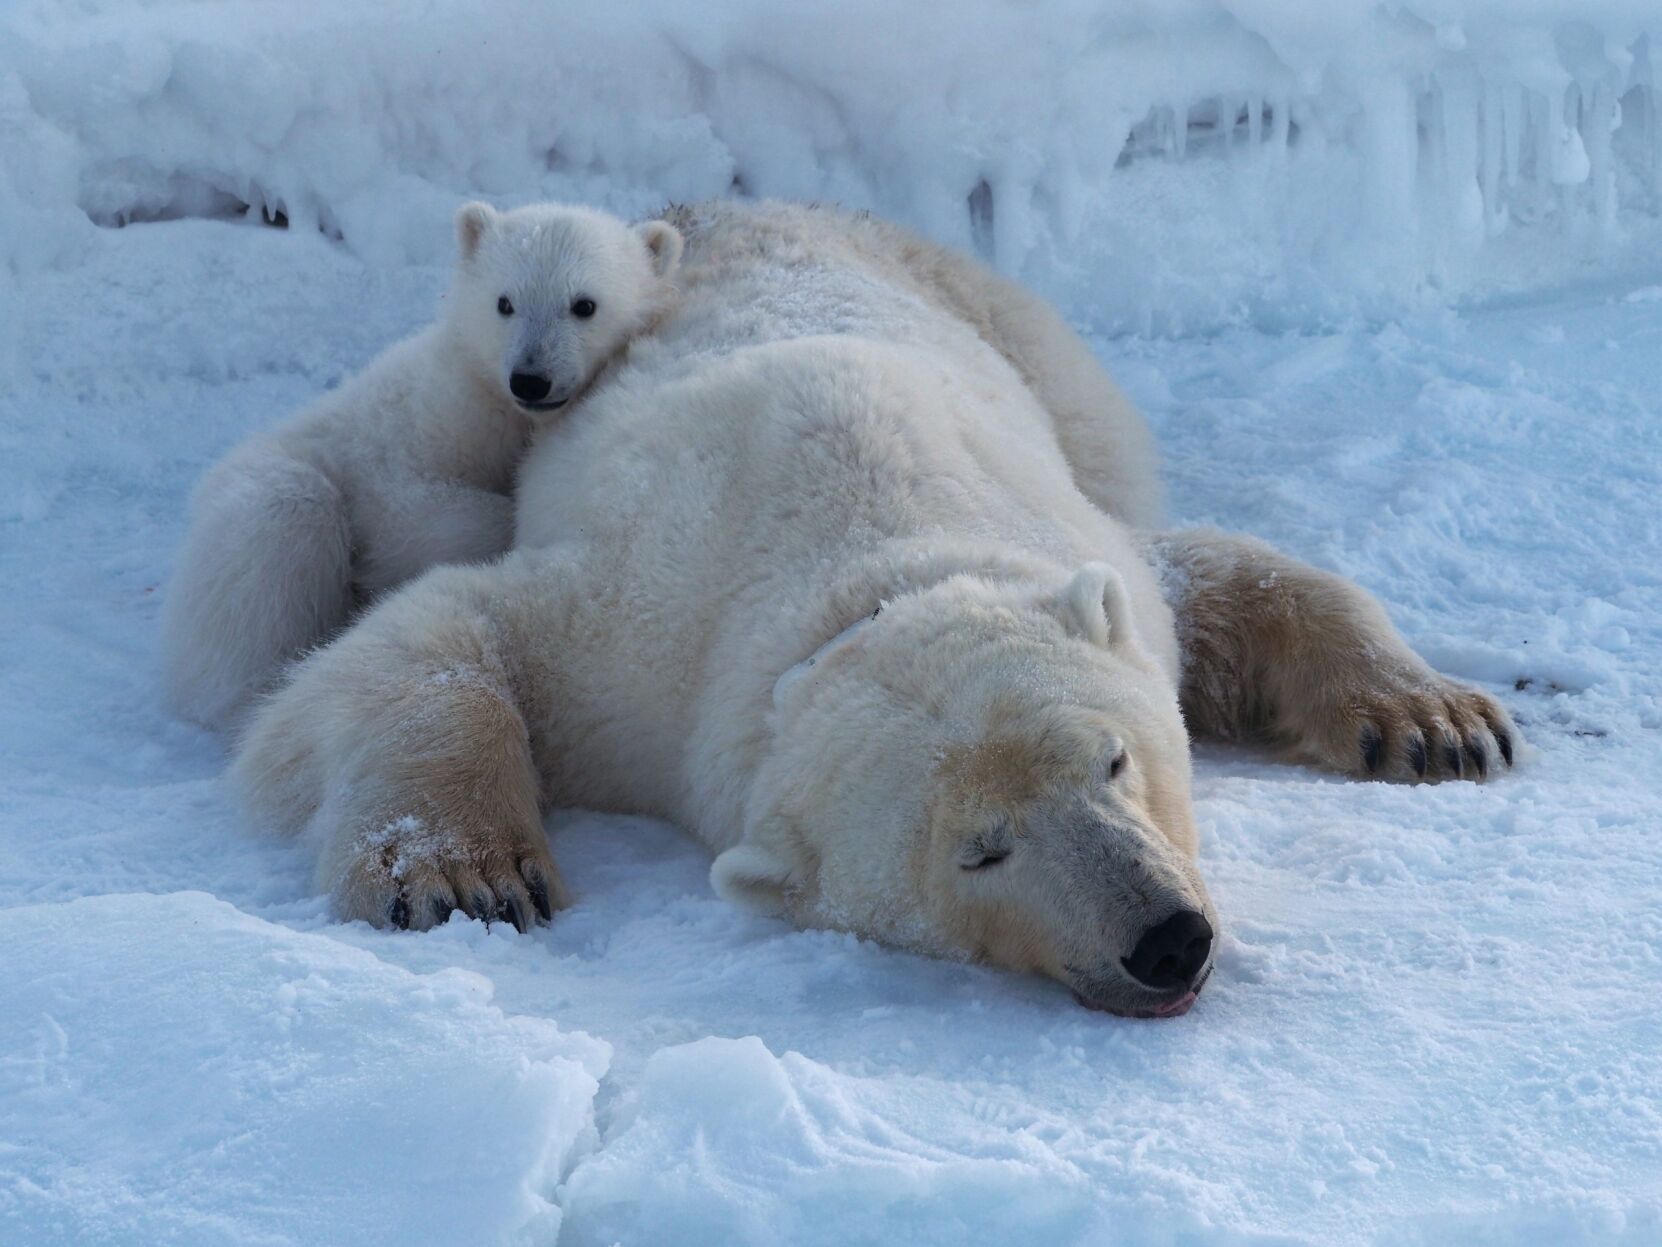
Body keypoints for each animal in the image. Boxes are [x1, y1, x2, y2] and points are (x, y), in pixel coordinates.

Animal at [160, 201, 684, 730]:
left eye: (584, 305)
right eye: (504, 302)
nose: (530, 379)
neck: (497, 407)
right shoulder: (417, 430)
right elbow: (410, 512)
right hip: (264, 487)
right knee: (279, 532)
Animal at [232, 200, 1517, 1019]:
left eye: (1113, 759)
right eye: (980, 850)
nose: (1166, 939)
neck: (866, 554)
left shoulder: (1068, 534)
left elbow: (1217, 576)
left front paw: (1435, 722)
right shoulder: (643, 643)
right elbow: (440, 635)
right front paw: (466, 875)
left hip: (1017, 331)